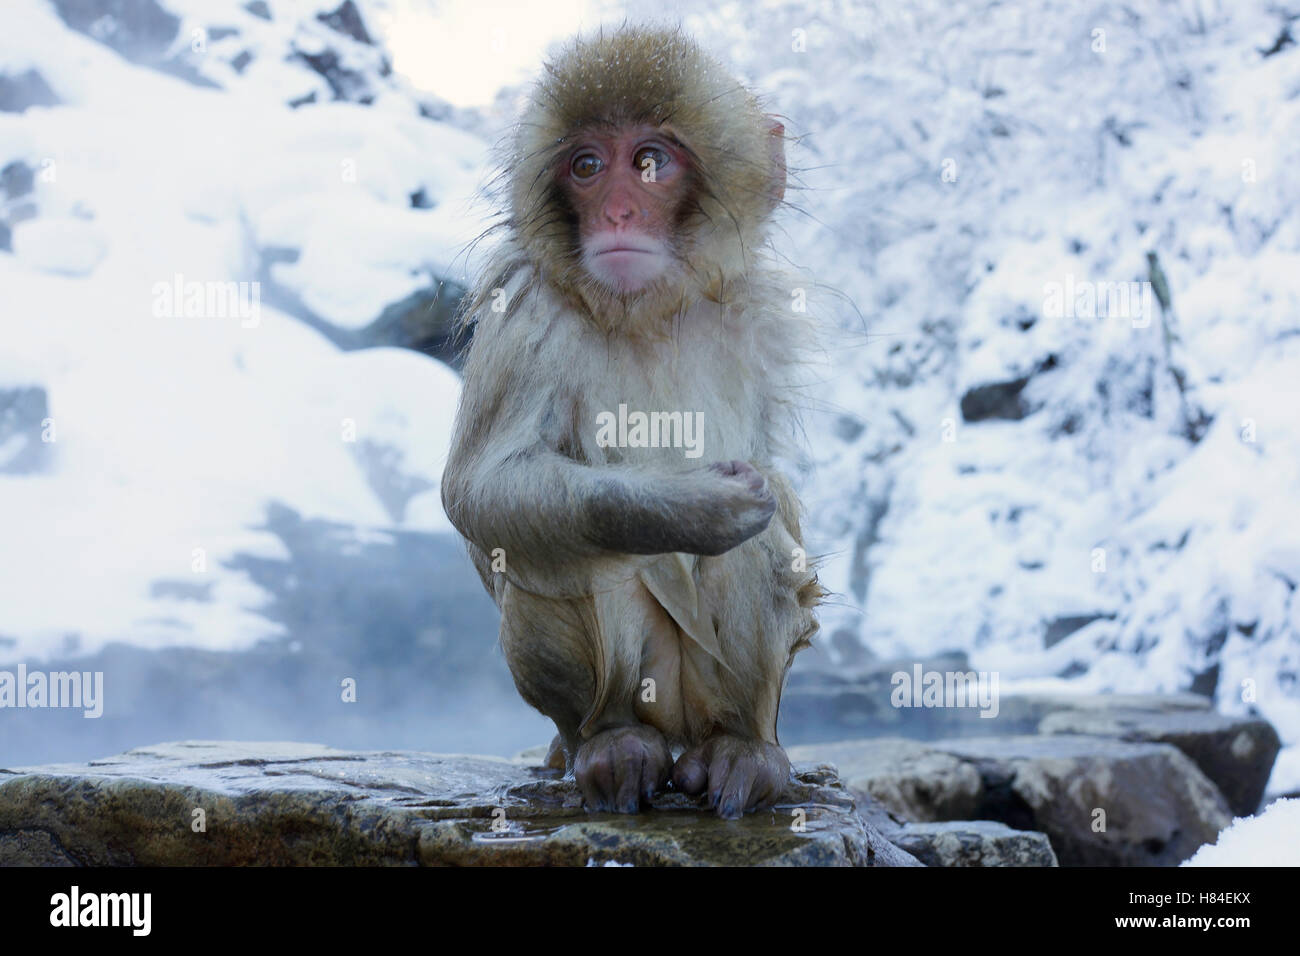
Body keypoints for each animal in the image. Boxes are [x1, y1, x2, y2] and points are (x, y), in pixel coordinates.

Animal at [441, 26, 823, 819]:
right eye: (587, 166)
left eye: (650, 163)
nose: (616, 213)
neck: (645, 314)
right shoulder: (526, 316)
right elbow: (481, 488)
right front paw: (691, 505)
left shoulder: (756, 324)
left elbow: (775, 490)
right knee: (563, 551)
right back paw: (613, 746)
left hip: (701, 702)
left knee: (760, 546)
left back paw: (743, 751)